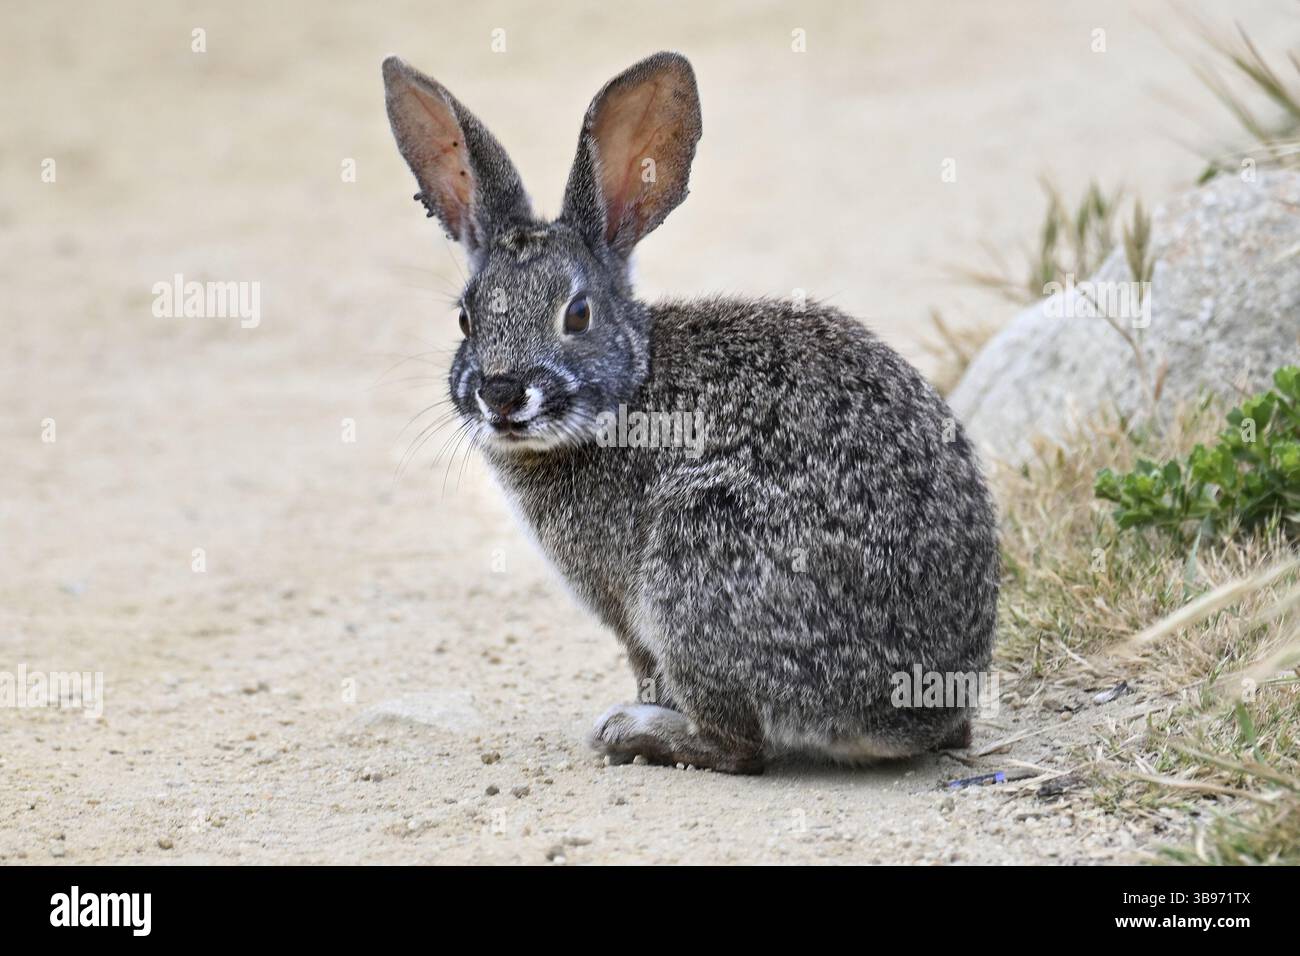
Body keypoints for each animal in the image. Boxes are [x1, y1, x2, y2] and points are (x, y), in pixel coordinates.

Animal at [382, 51, 999, 774]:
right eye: (464, 318)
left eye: (577, 314)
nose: (503, 393)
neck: (630, 387)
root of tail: (909, 712)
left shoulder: (628, 609)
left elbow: (648, 668)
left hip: (697, 556)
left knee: (741, 748)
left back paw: (633, 732)